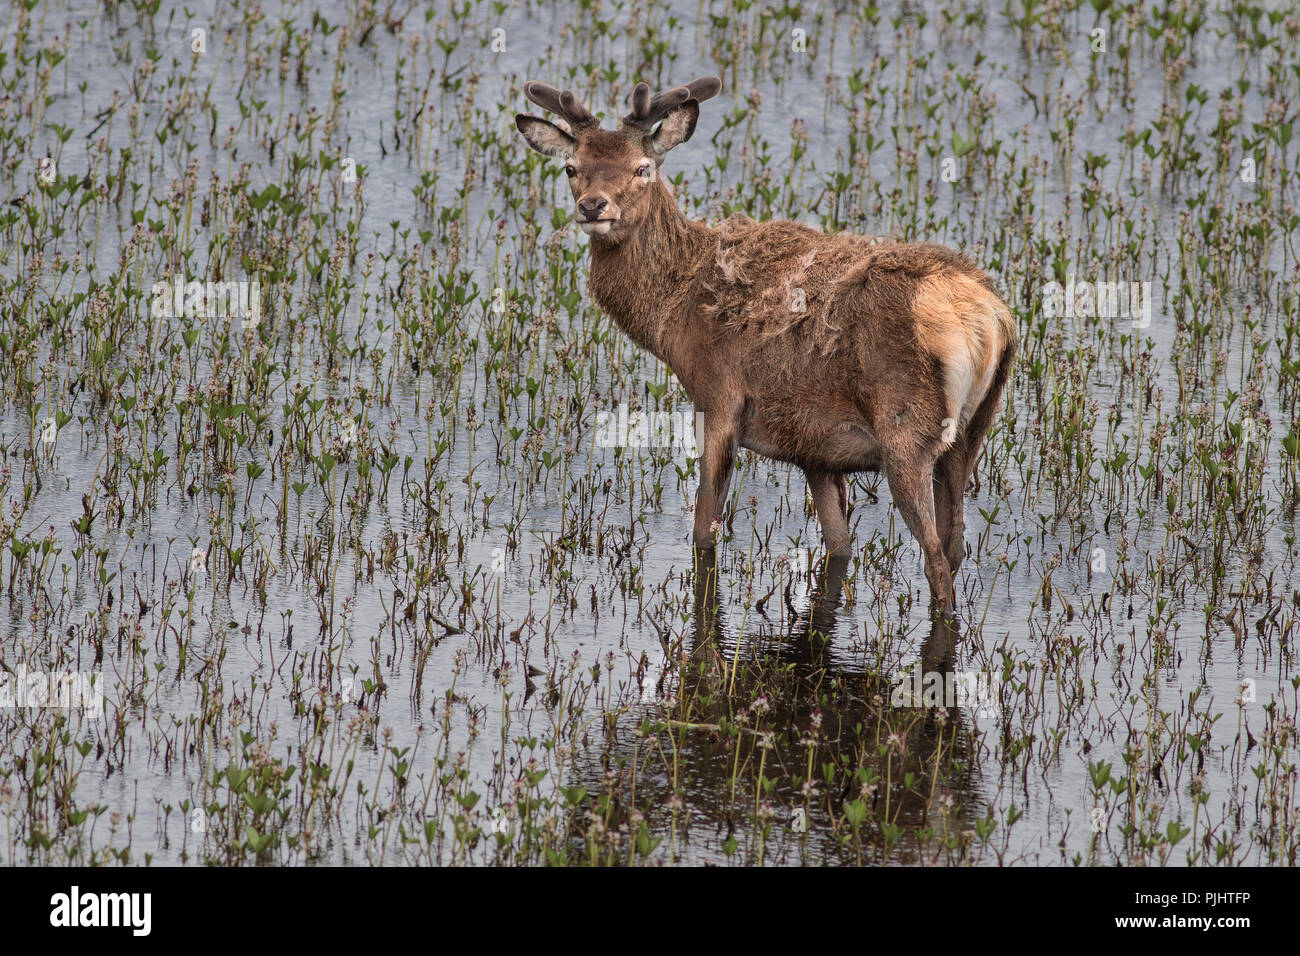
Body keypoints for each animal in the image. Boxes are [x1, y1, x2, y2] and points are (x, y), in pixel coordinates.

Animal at [514, 77, 1017, 616]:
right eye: (572, 167)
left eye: (642, 167)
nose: (593, 206)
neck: (674, 317)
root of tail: (989, 317)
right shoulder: (816, 448)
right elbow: (839, 545)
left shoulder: (719, 397)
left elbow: (705, 530)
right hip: (972, 432)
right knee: (956, 544)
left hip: (907, 432)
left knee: (937, 559)